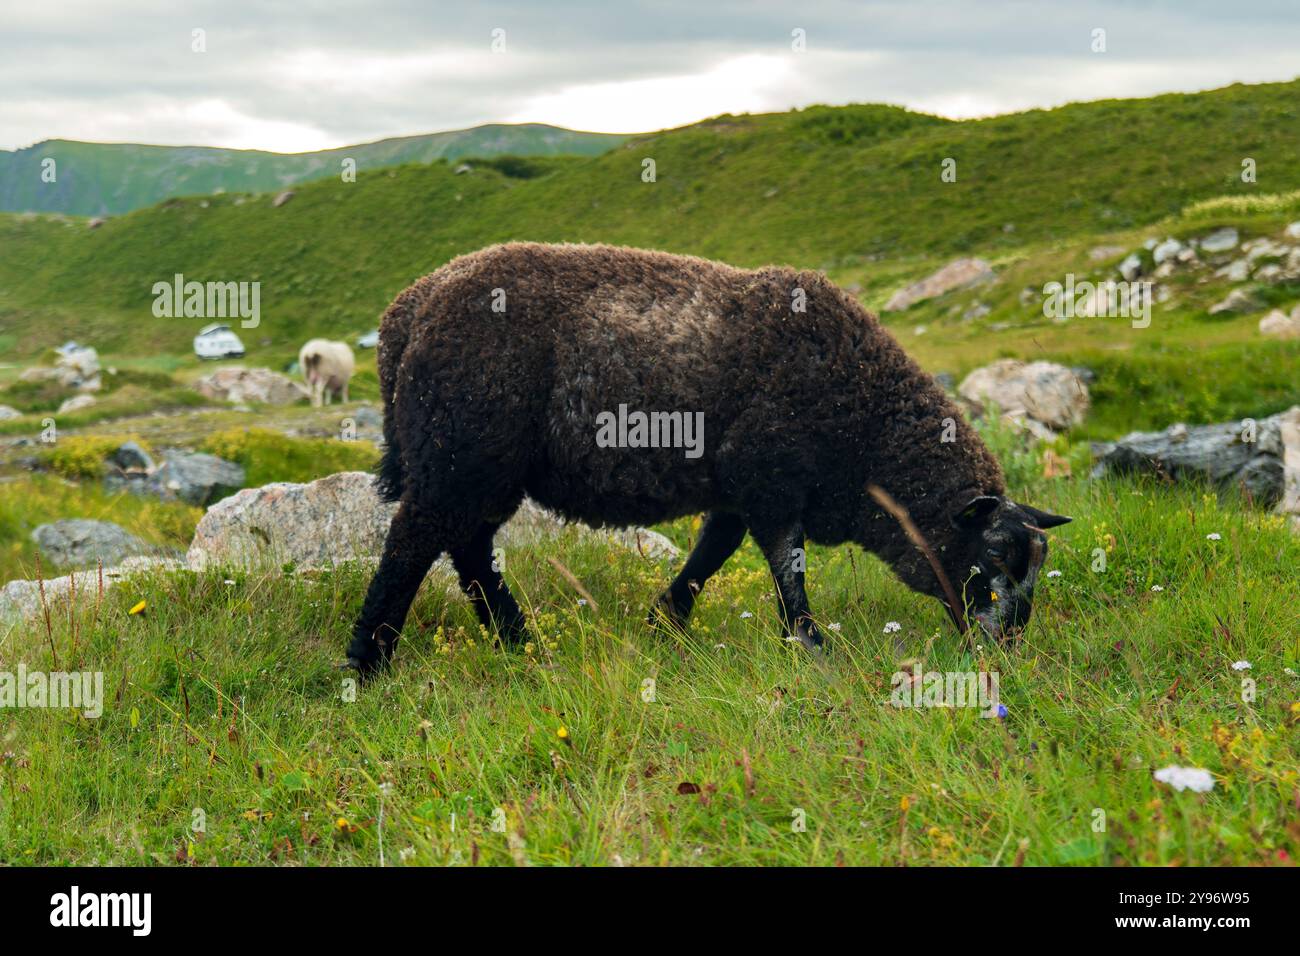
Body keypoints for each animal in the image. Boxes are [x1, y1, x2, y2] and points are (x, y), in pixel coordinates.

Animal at [344, 242, 1069, 675]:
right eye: (994, 555)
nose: (1009, 651)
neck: (867, 426)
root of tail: (406, 313)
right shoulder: (771, 481)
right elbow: (785, 566)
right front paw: (811, 646)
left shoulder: (737, 489)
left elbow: (711, 555)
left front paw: (665, 624)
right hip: (462, 452)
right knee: (416, 541)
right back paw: (370, 661)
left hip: (481, 467)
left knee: (467, 548)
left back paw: (519, 641)